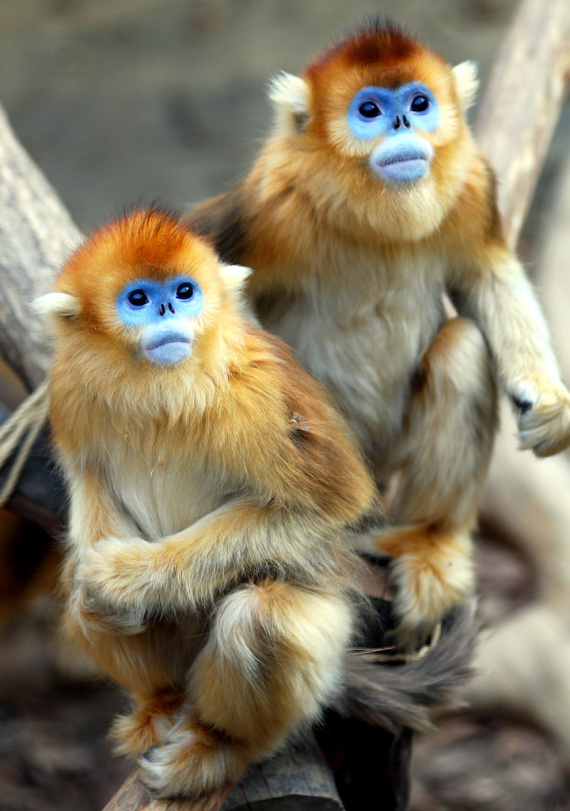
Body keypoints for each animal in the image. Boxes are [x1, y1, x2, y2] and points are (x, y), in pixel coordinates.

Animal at [34, 207, 476, 799]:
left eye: (184, 291)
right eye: (138, 299)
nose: (169, 309)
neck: (158, 388)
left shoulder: (257, 389)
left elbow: (328, 508)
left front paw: (127, 577)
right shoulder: (68, 391)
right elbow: (90, 486)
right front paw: (110, 592)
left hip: (325, 638)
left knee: (260, 618)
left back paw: (218, 745)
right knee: (80, 595)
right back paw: (159, 702)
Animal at [186, 20, 570, 645]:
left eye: (419, 103)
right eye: (369, 110)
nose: (402, 125)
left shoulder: (471, 185)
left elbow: (488, 273)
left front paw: (549, 400)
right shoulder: (269, 202)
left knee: (463, 348)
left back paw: (429, 540)